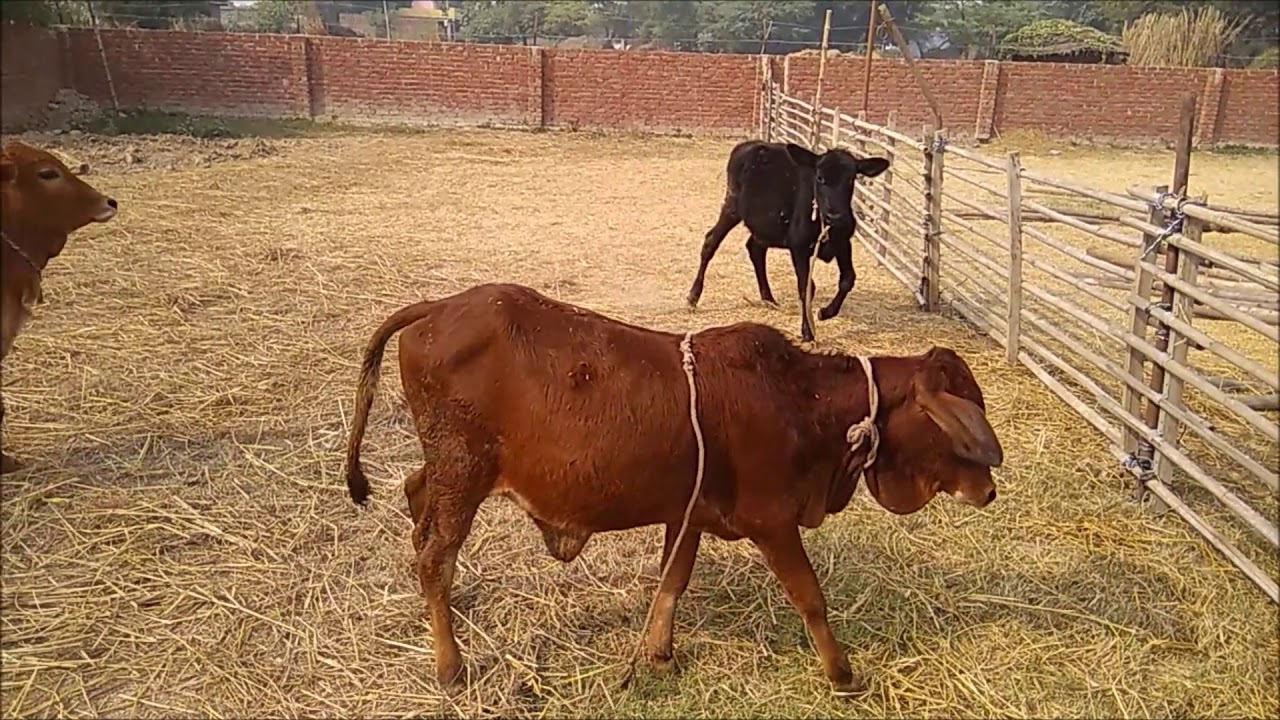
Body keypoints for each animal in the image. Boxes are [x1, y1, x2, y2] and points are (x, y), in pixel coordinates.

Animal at [342, 283, 1004, 696]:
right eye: (957, 413)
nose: (990, 492)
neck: (803, 401)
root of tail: (437, 307)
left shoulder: (688, 515)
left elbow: (672, 583)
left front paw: (658, 654)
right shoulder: (772, 521)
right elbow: (810, 597)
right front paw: (842, 674)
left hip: (448, 469)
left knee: (415, 498)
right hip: (464, 472)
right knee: (434, 556)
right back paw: (450, 665)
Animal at [686, 140, 891, 343]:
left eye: (850, 179)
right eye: (820, 178)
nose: (836, 216)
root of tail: (749, 144)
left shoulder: (842, 243)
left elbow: (848, 279)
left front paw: (825, 312)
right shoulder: (798, 247)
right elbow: (806, 287)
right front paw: (807, 332)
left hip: (763, 225)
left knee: (755, 249)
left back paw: (768, 298)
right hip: (731, 205)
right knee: (710, 241)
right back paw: (693, 297)